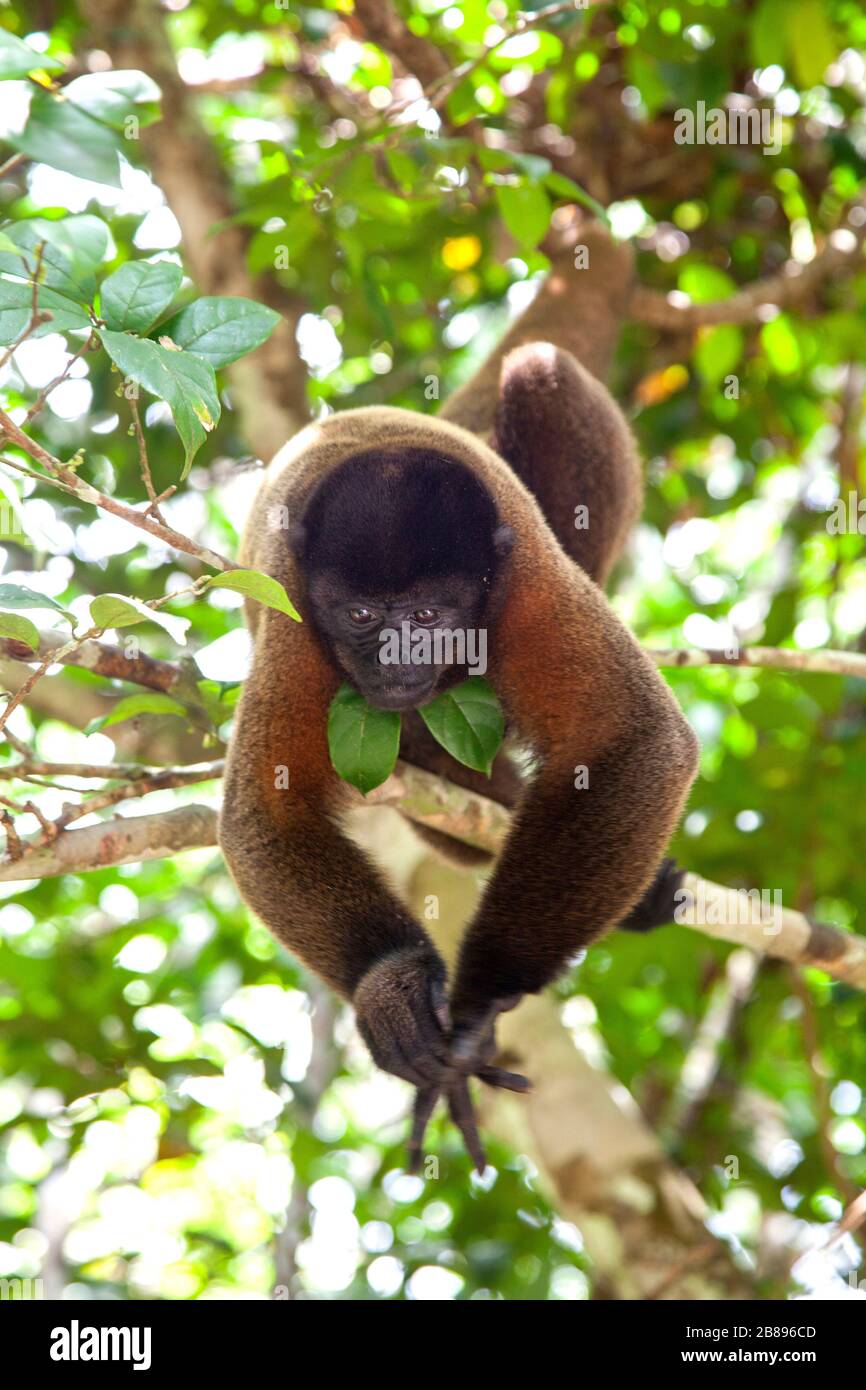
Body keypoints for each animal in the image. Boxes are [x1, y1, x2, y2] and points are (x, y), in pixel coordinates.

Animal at [219, 220, 700, 1170]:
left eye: (431, 614)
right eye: (363, 614)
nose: (399, 658)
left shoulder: (527, 590)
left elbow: (634, 741)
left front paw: (480, 1002)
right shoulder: (295, 620)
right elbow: (269, 811)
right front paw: (391, 988)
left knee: (542, 367)